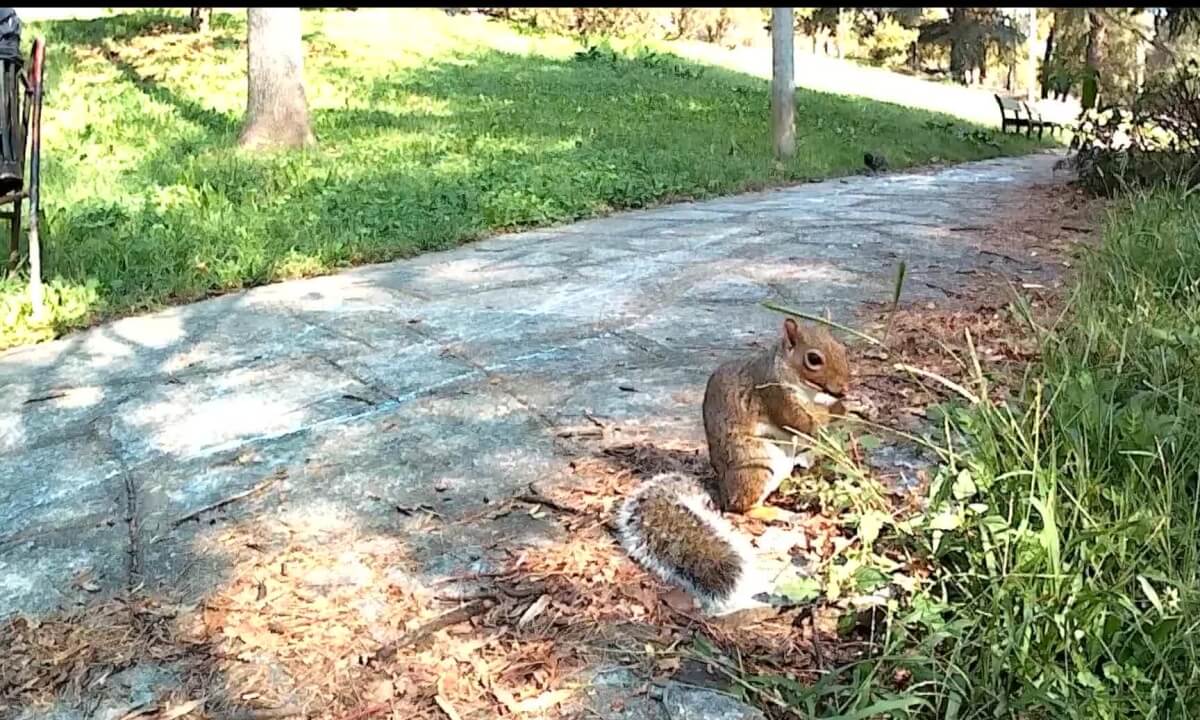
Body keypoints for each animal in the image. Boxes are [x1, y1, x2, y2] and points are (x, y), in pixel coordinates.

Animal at [614, 318, 851, 615]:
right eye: (814, 359)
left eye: (842, 348)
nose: (844, 388)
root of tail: (720, 489)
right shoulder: (773, 394)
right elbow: (803, 423)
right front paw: (843, 408)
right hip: (756, 468)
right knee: (740, 508)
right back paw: (778, 512)